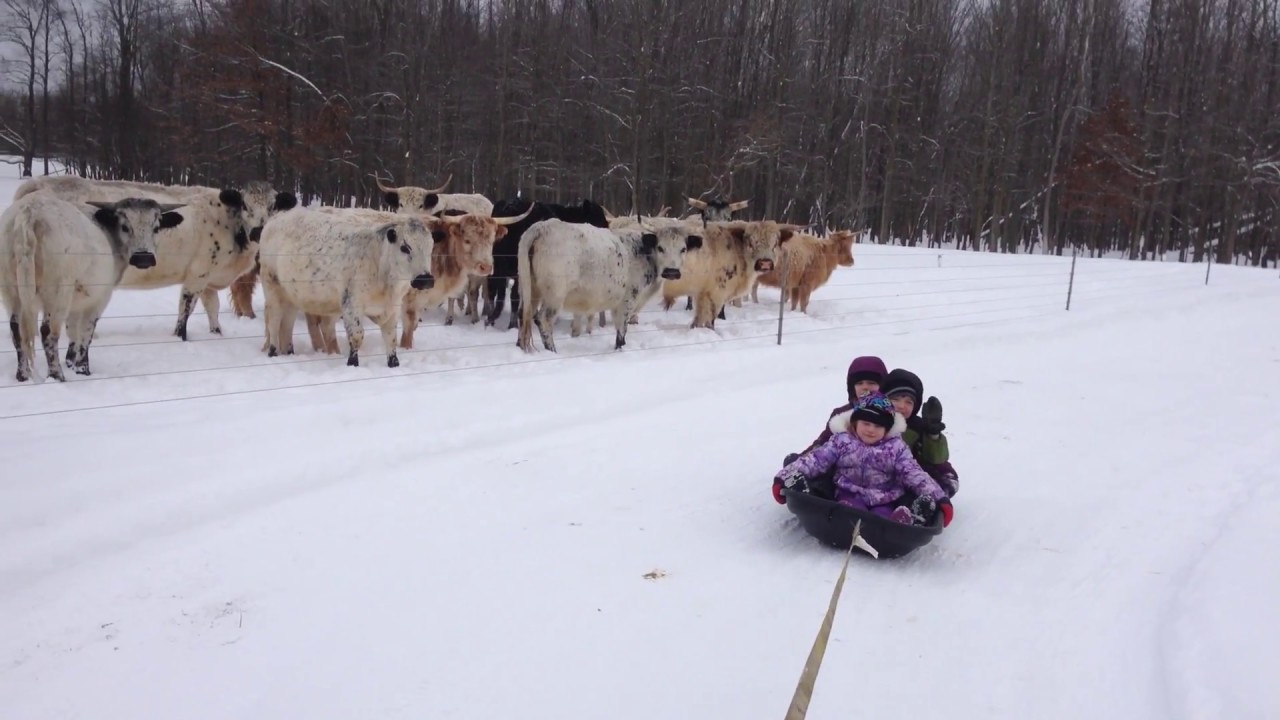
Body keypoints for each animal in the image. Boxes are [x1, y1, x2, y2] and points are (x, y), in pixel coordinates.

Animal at [0, 193, 185, 382]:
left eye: (156, 228)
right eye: (125, 227)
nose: (143, 258)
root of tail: (30, 211)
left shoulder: (77, 300)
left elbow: (73, 330)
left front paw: (70, 361)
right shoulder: (99, 297)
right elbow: (86, 332)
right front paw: (83, 369)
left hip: (11, 292)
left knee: (16, 330)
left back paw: (22, 374)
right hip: (58, 293)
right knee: (48, 332)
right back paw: (57, 376)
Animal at [13, 175, 297, 340]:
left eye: (273, 206)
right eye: (245, 205)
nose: (259, 230)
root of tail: (37, 185)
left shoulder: (208, 275)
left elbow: (212, 306)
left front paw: (216, 333)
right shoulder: (198, 273)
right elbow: (186, 307)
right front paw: (180, 336)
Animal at [256, 207, 435, 368]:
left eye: (430, 248)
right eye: (405, 247)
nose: (425, 279)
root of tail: (276, 218)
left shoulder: (393, 308)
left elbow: (390, 337)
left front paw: (394, 363)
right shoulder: (351, 303)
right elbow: (357, 335)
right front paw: (352, 363)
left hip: (291, 297)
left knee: (287, 323)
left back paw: (289, 352)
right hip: (272, 288)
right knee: (274, 321)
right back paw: (273, 352)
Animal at [516, 219, 704, 353]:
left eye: (683, 249)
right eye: (660, 247)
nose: (671, 271)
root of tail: (543, 226)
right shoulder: (627, 299)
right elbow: (621, 328)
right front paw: (620, 348)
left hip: (531, 289)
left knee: (523, 314)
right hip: (555, 295)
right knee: (543, 319)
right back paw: (552, 351)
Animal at [659, 220, 801, 329]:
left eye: (775, 243)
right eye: (750, 243)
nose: (765, 263)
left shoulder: (702, 294)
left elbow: (699, 319)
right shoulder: (716, 293)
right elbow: (709, 320)